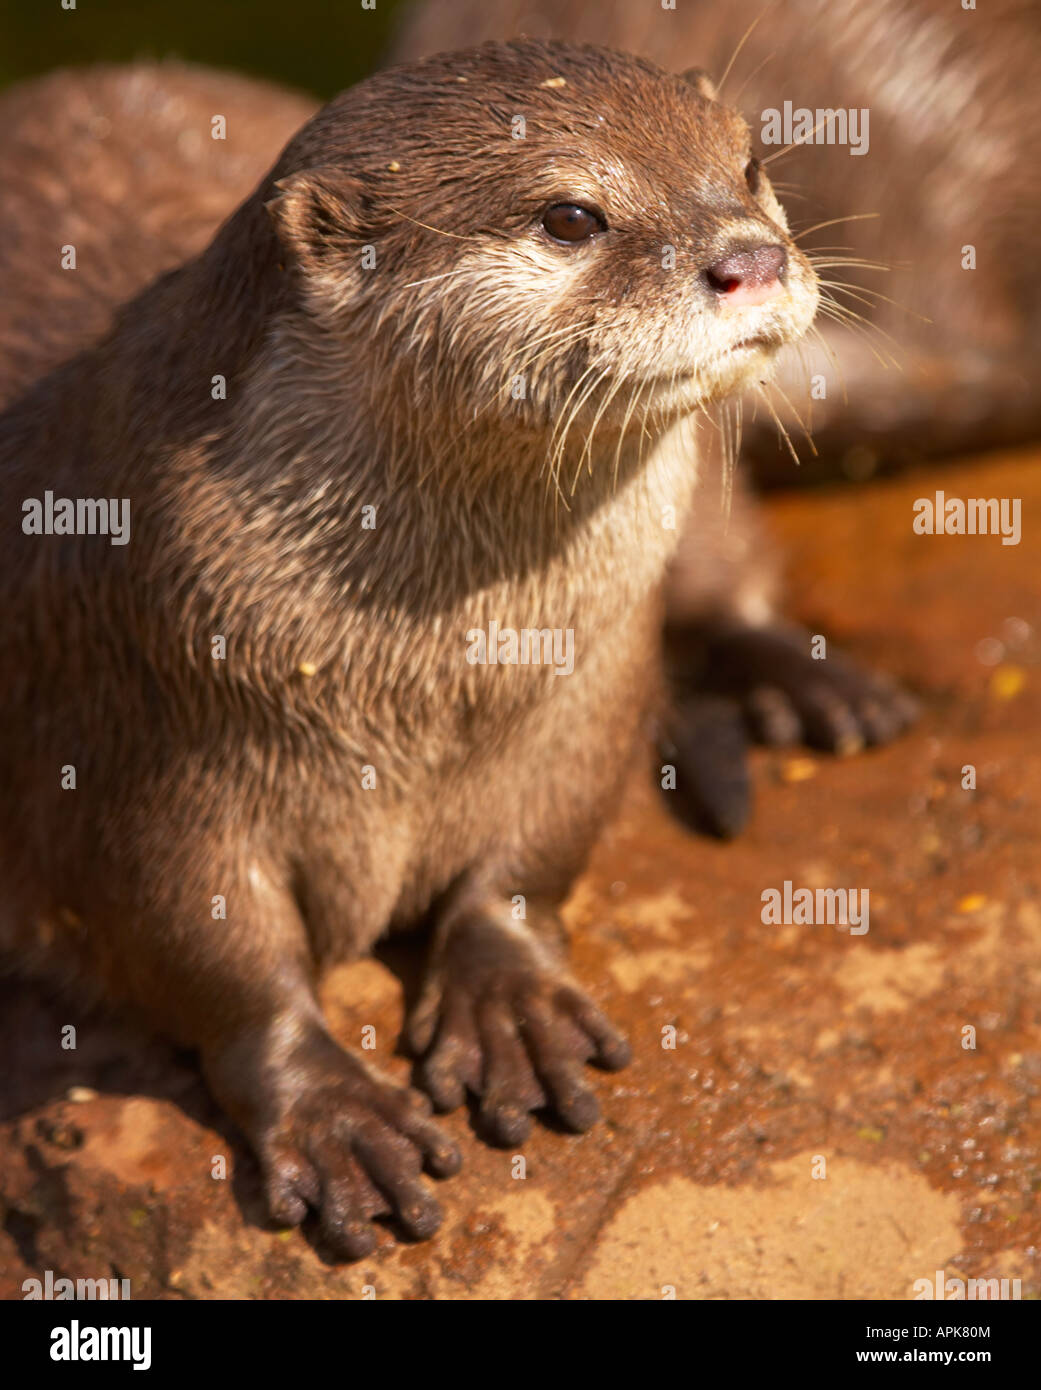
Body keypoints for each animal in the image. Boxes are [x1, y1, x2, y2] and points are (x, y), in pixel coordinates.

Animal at [0, 40, 914, 1257]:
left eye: (753, 166)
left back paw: (805, 685)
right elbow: (209, 953)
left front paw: (508, 997)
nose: (752, 257)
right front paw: (330, 1108)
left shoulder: (588, 687)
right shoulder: (138, 735)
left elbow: (538, 848)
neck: (425, 674)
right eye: (571, 215)